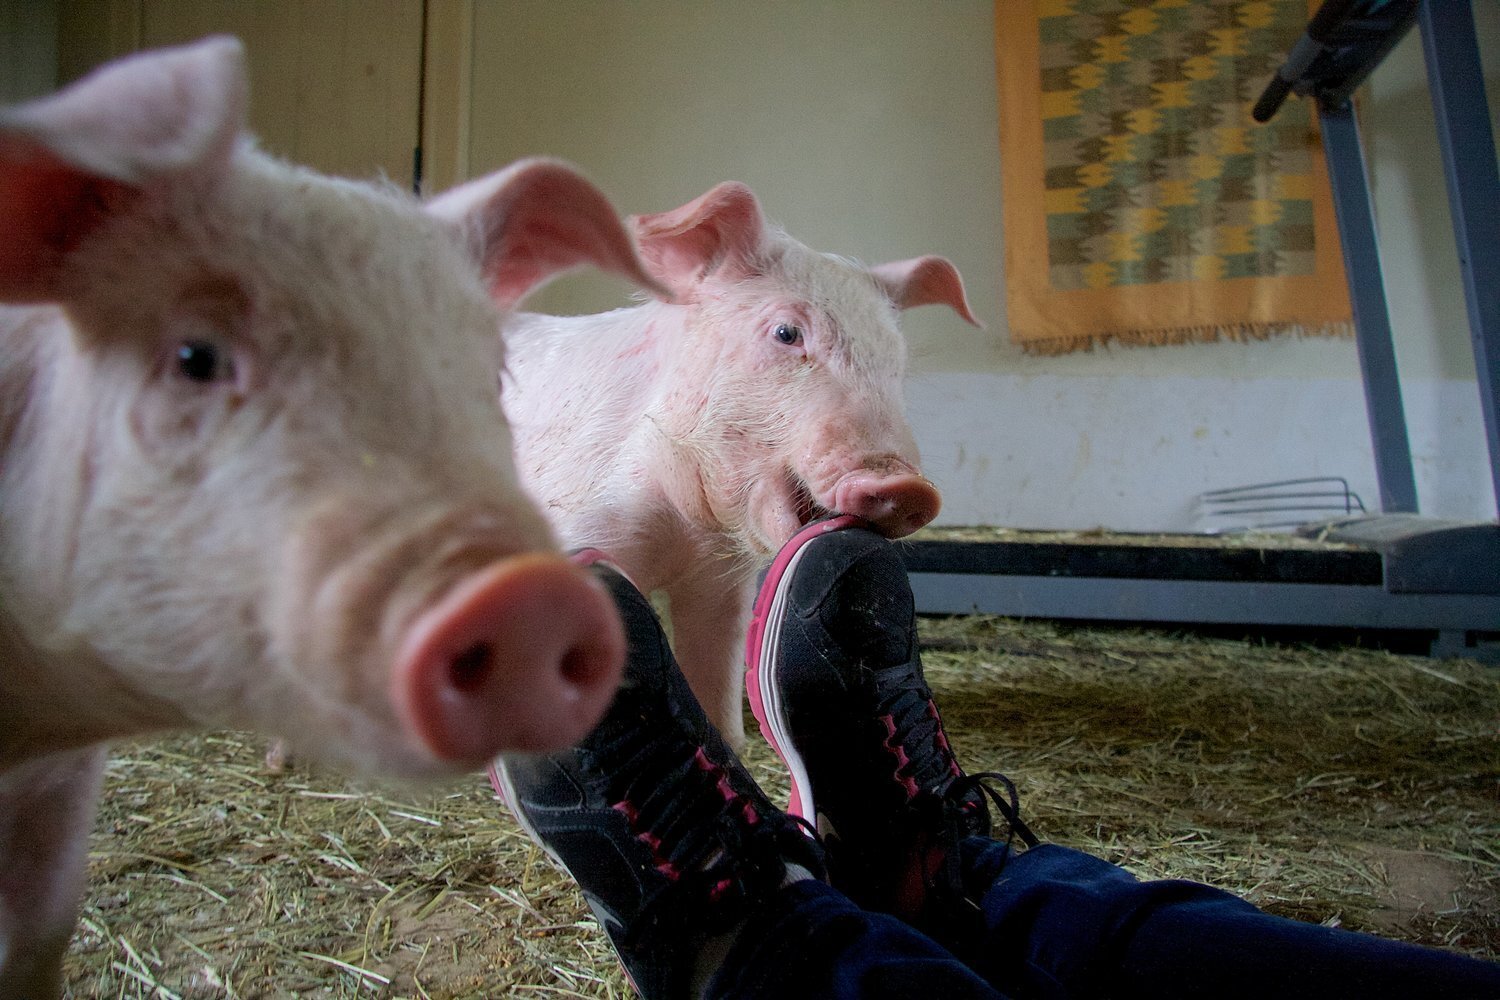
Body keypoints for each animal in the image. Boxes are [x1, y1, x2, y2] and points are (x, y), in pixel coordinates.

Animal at [0, 38, 664, 996]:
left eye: (492, 371)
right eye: (195, 357)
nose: (530, 596)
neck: (43, 717)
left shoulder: (59, 792)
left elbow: (43, 926)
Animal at [487, 181, 976, 746]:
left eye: (895, 363)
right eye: (786, 333)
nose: (906, 485)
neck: (686, 528)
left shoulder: (720, 585)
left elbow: (716, 684)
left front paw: (729, 738)